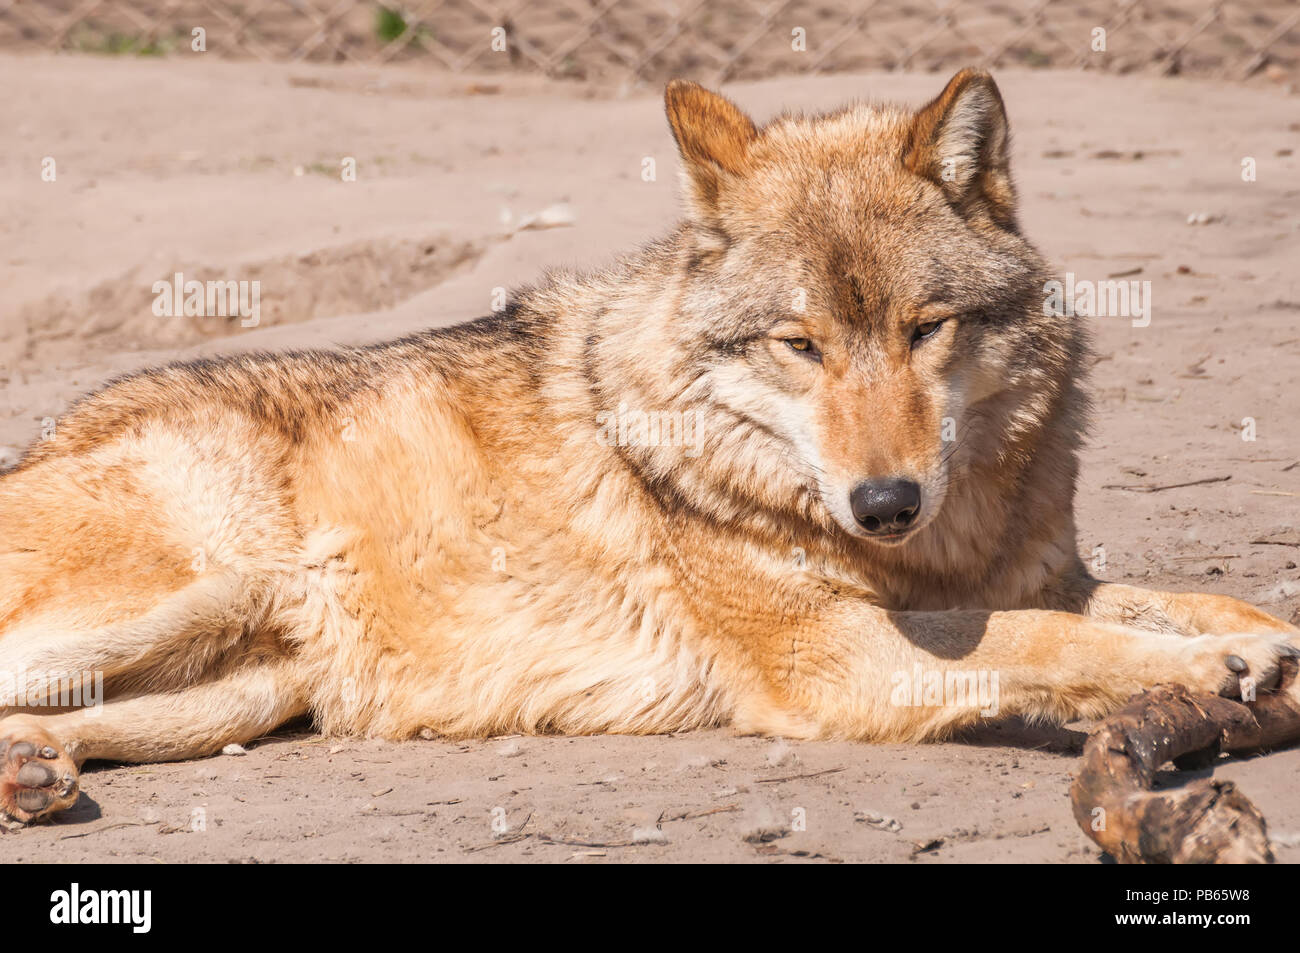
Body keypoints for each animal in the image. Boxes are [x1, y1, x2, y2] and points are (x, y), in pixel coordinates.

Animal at [2, 69, 1295, 827]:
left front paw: (1252, 640)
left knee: (48, 723)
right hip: (193, 599)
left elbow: (1148, 597)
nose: (884, 501)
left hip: (235, 688)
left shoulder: (1030, 573)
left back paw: (33, 776)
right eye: (799, 345)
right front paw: (1194, 672)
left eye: (924, 329)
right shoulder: (831, 658)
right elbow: (1054, 637)